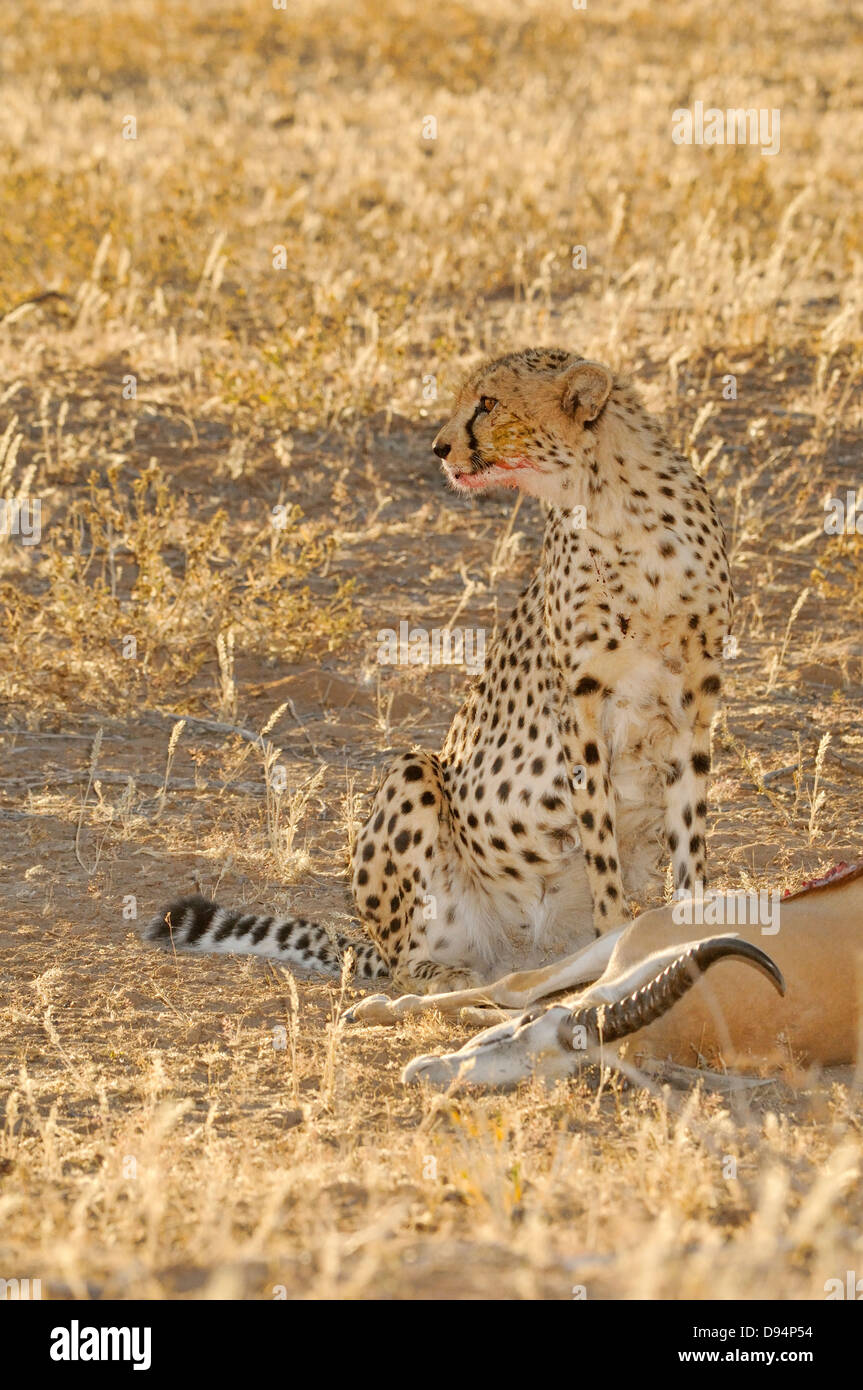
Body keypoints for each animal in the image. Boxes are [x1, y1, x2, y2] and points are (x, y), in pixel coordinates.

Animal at [145, 348, 732, 1000]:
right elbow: (602, 854)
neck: (619, 506)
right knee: (408, 963)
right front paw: (615, 947)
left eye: (489, 403)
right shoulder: (582, 706)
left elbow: (689, 842)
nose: (439, 448)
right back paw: (447, 973)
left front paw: (684, 934)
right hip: (414, 778)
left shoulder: (693, 703)